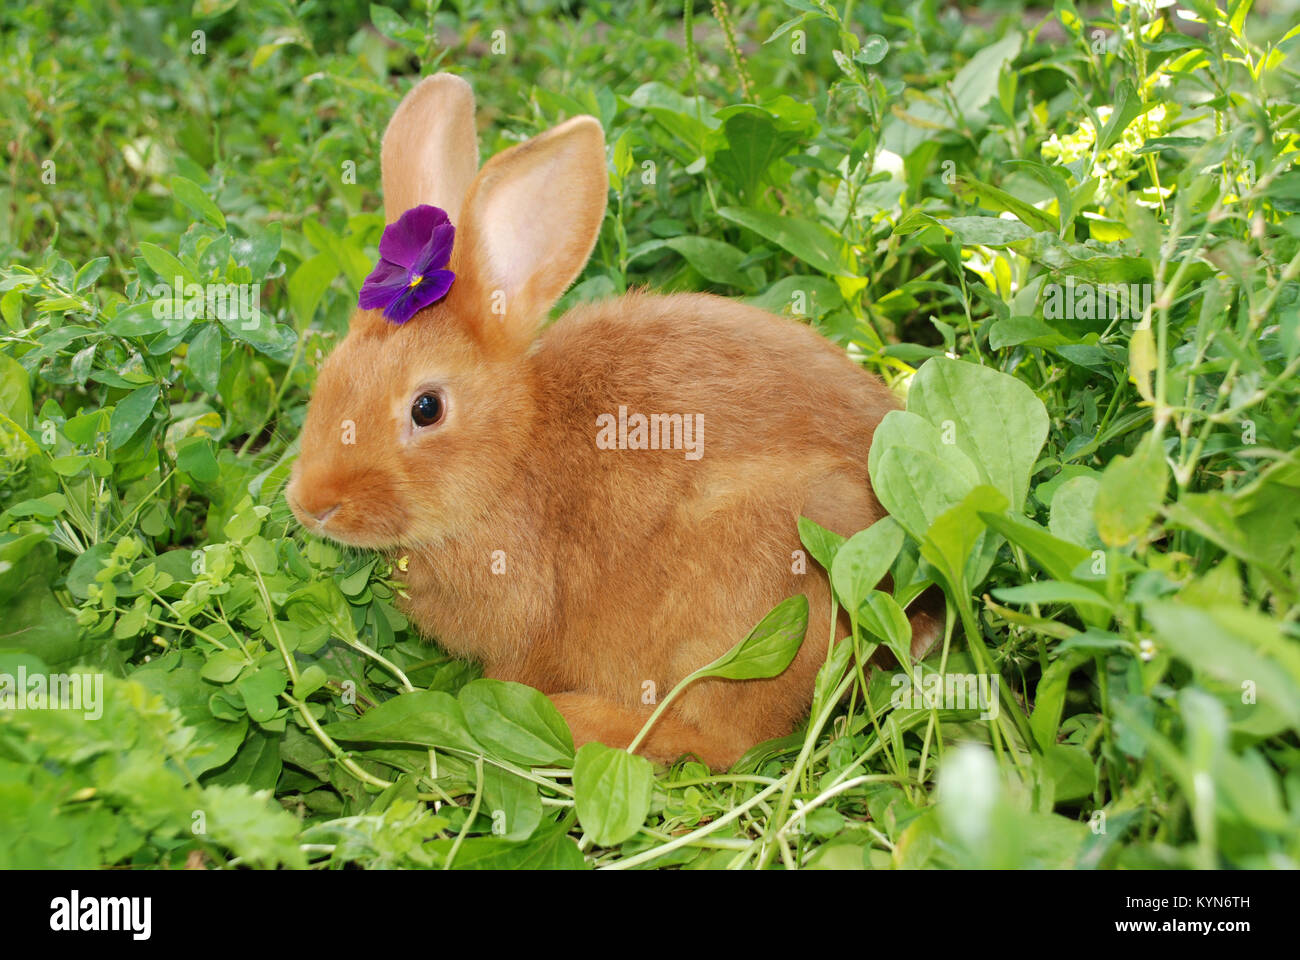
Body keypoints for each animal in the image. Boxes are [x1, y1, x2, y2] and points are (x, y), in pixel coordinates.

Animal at [286, 73, 942, 770]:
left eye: (426, 408)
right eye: (329, 373)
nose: (311, 505)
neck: (515, 453)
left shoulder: (528, 625)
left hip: (760, 605)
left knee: (727, 741)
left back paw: (584, 724)